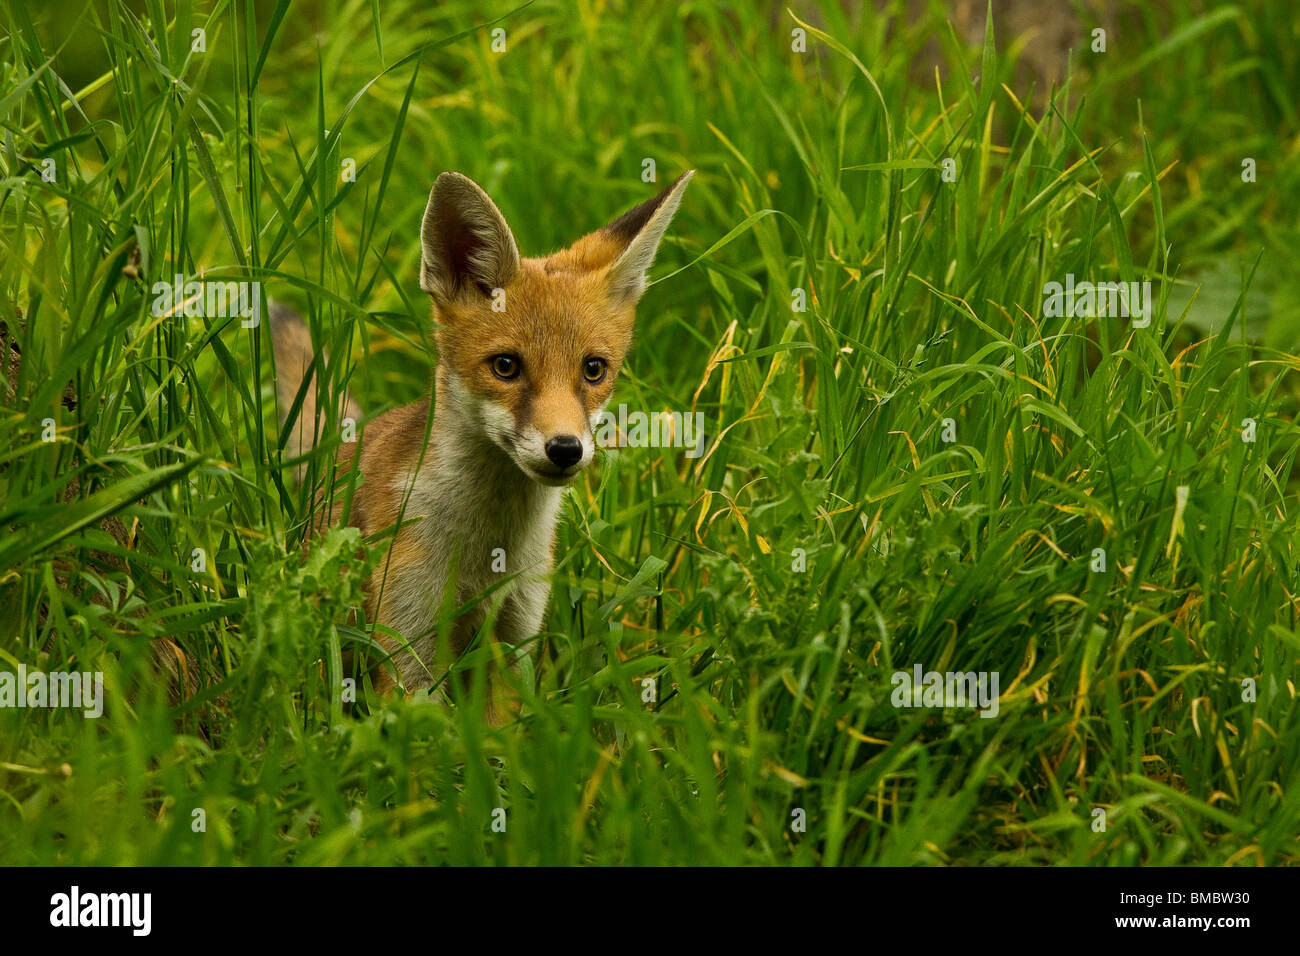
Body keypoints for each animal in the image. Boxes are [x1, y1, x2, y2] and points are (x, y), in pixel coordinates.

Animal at [271, 169, 694, 723]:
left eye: (593, 369)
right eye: (505, 366)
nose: (565, 449)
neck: (489, 553)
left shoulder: (514, 638)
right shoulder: (406, 640)